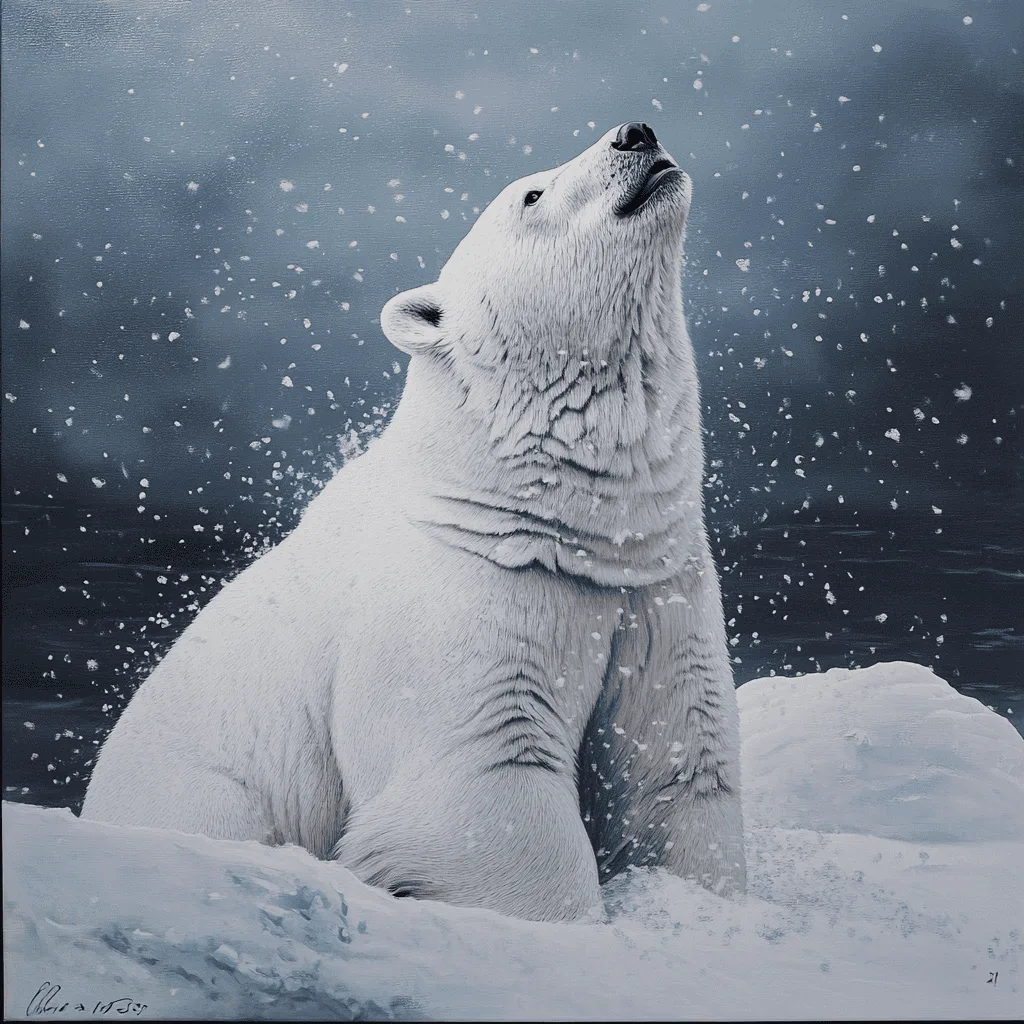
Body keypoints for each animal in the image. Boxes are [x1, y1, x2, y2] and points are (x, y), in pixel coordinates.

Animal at [82, 122, 746, 922]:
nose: (635, 132)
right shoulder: (465, 589)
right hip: (206, 797)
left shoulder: (653, 591)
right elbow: (487, 781)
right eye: (532, 194)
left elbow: (680, 765)